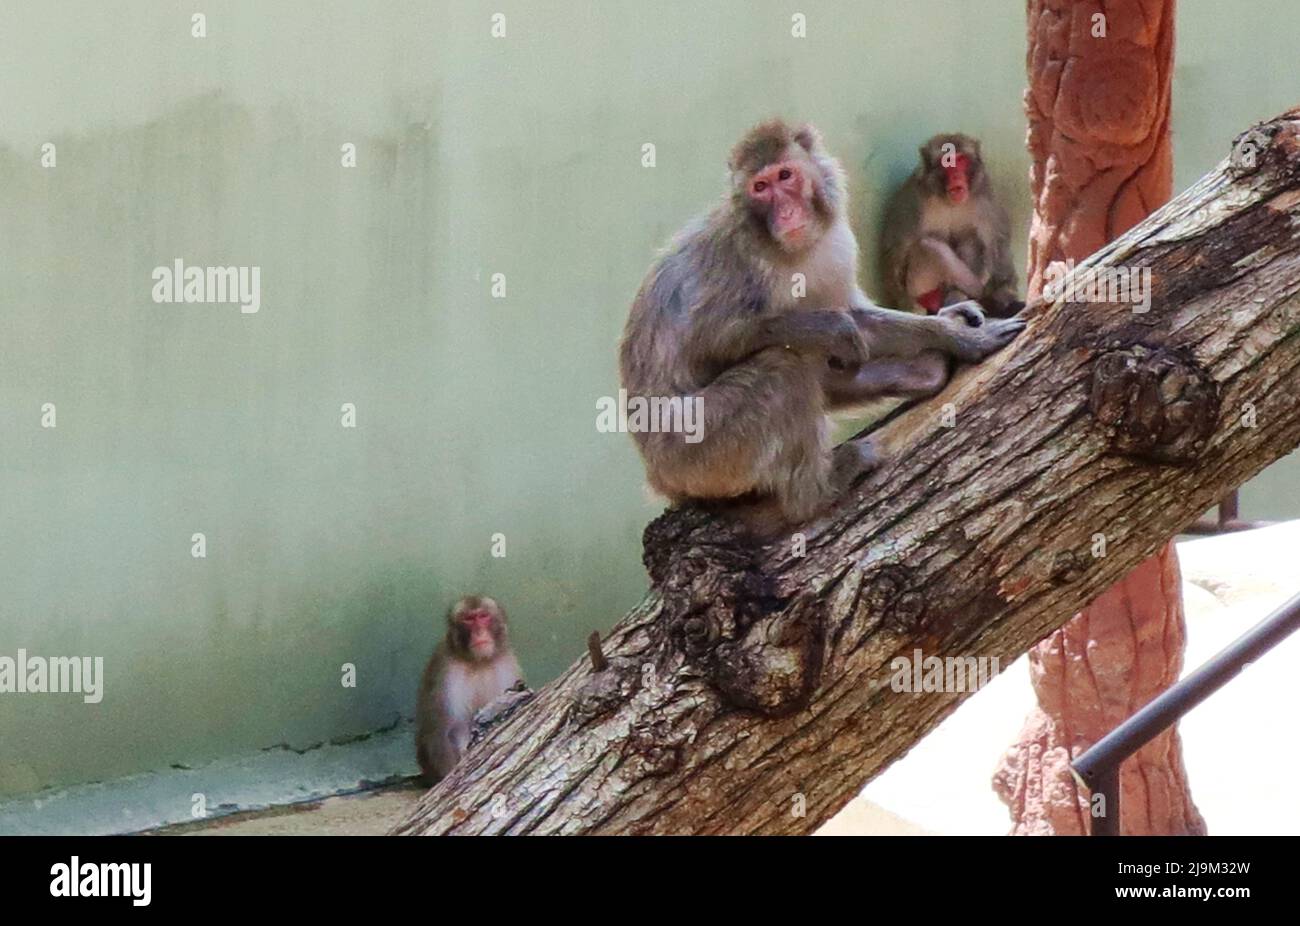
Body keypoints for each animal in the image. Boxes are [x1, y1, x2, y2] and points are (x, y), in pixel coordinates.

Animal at [415, 596, 523, 785]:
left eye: (483, 616)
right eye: (468, 619)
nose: (479, 632)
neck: (479, 662)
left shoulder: (508, 667)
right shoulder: (446, 672)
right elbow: (442, 731)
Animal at [881, 133, 1024, 317]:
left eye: (961, 160)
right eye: (947, 162)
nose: (956, 175)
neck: (948, 201)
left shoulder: (984, 193)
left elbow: (998, 242)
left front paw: (1005, 291)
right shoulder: (913, 200)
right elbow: (895, 252)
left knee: (970, 239)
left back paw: (961, 294)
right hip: (919, 286)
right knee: (929, 246)